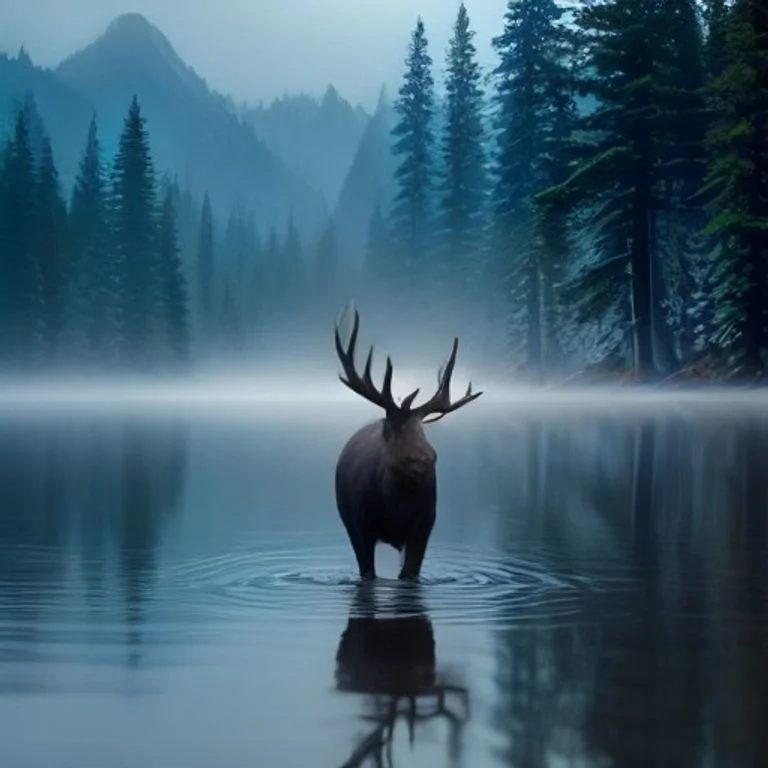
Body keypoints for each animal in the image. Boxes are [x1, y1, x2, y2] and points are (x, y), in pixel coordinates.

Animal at [333, 302, 482, 581]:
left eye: (423, 430)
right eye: (395, 428)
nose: (426, 458)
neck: (397, 507)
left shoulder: (424, 529)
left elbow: (409, 575)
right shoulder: (361, 527)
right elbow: (368, 572)